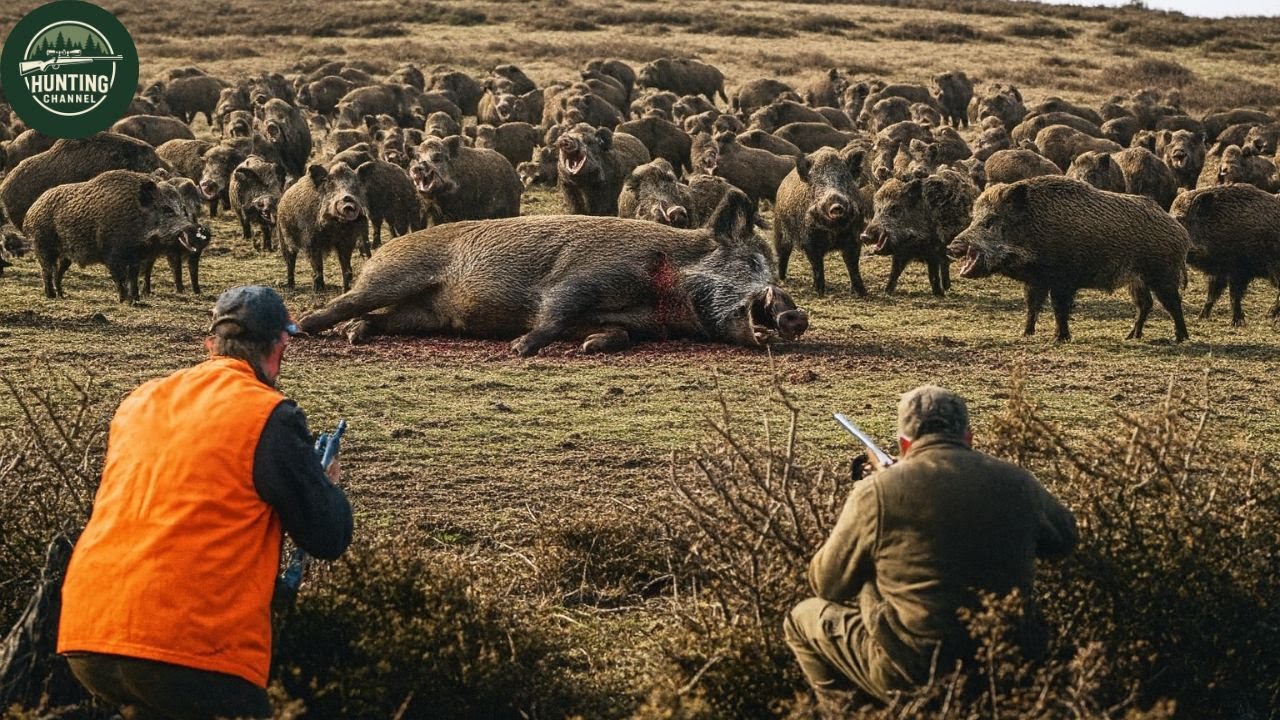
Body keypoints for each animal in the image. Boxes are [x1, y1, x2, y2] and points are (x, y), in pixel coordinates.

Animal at [26, 170, 198, 301]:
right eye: (166, 209)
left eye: (182, 208)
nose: (191, 227)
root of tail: (32, 209)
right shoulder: (112, 256)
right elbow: (120, 278)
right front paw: (125, 300)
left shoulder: (135, 258)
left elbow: (133, 277)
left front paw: (136, 299)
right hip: (43, 246)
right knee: (47, 271)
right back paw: (50, 295)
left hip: (65, 255)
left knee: (58, 272)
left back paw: (62, 295)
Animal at [276, 162, 370, 292]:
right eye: (331, 185)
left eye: (356, 185)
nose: (348, 198)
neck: (336, 226)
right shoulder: (310, 240)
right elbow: (317, 264)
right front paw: (317, 290)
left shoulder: (347, 240)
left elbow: (345, 264)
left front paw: (346, 289)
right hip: (283, 237)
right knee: (290, 260)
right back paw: (290, 287)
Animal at [297, 189, 808, 355]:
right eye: (750, 263)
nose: (797, 315)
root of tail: (386, 246)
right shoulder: (580, 279)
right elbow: (556, 310)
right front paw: (521, 348)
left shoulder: (623, 320)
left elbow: (616, 334)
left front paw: (590, 346)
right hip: (393, 275)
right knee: (345, 302)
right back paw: (306, 328)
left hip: (425, 314)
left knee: (380, 319)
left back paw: (356, 335)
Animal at [773, 146, 871, 296]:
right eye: (817, 183)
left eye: (844, 178)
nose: (836, 205)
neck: (833, 229)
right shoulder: (809, 240)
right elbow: (817, 264)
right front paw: (819, 291)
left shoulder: (854, 237)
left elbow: (852, 264)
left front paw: (862, 293)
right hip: (780, 229)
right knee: (782, 253)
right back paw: (782, 278)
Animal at [948, 176, 1191, 342]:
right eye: (974, 219)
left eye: (990, 221)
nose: (952, 247)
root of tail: (1182, 234)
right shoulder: (1036, 280)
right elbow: (1032, 305)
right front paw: (1025, 334)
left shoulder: (1063, 280)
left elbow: (1059, 307)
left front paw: (1060, 338)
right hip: (1136, 280)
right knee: (1145, 304)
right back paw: (1131, 336)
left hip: (1162, 274)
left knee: (1173, 303)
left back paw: (1181, 338)